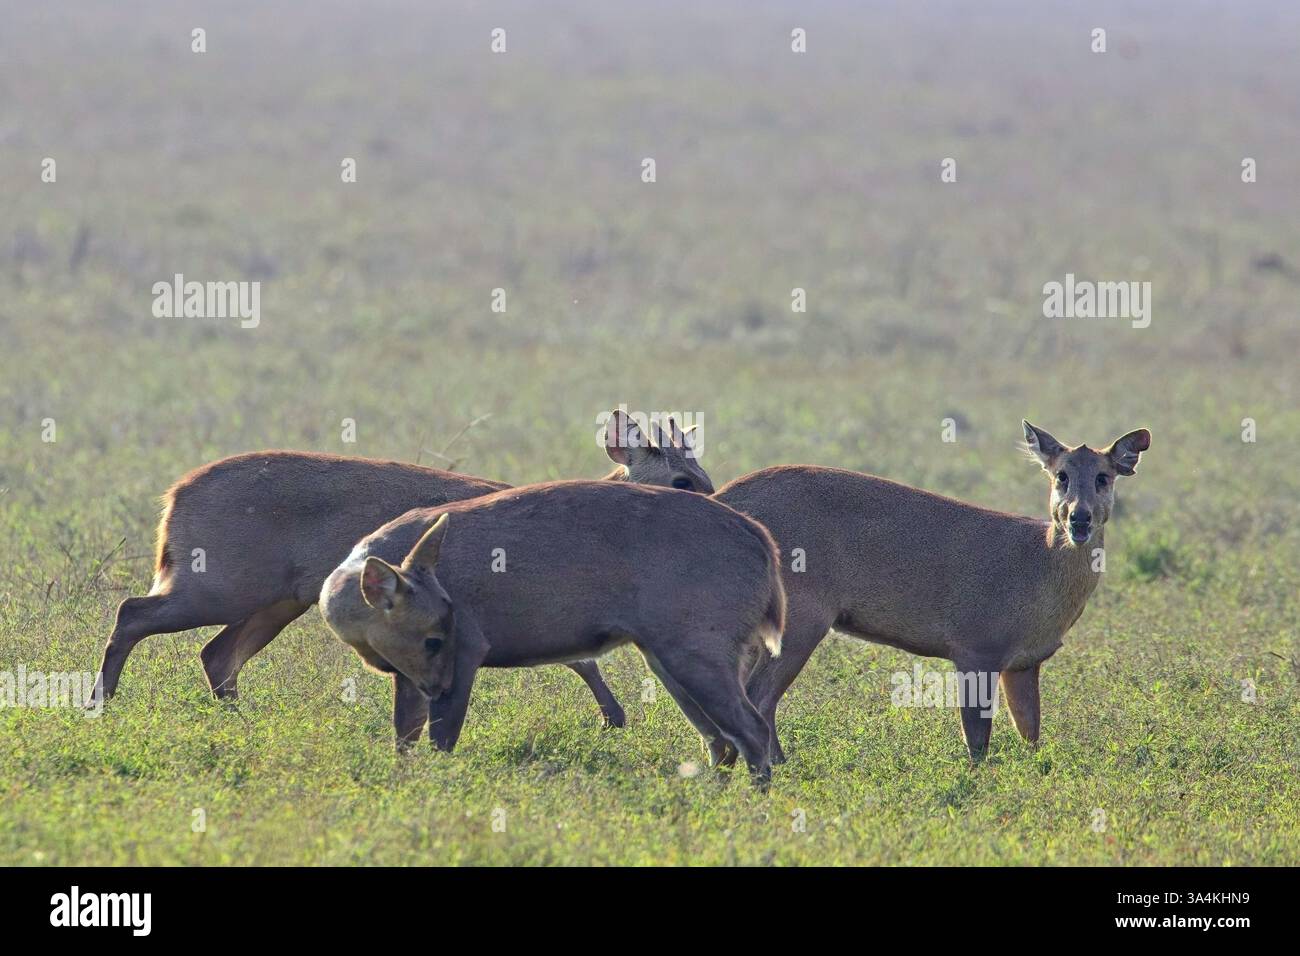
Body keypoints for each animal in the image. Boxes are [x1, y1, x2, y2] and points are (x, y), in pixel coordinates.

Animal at [93, 409, 712, 723]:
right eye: (683, 480)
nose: (719, 507)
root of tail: (173, 497)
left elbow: (582, 659)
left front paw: (615, 717)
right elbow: (582, 660)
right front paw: (615, 717)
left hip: (275, 600)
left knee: (217, 653)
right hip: (217, 580)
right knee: (132, 611)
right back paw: (100, 700)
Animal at [318, 480, 786, 785]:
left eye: (445, 631)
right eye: (432, 638)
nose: (441, 685)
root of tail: (765, 545)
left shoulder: (471, 646)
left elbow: (442, 735)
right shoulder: (409, 673)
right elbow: (404, 736)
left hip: (697, 644)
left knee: (750, 729)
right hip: (668, 654)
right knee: (720, 739)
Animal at [709, 421, 1151, 761]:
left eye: (1103, 477)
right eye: (1061, 475)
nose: (1079, 519)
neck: (1038, 568)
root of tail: (720, 498)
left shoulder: (1024, 662)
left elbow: (1031, 733)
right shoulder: (977, 645)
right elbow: (977, 740)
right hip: (800, 615)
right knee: (758, 699)